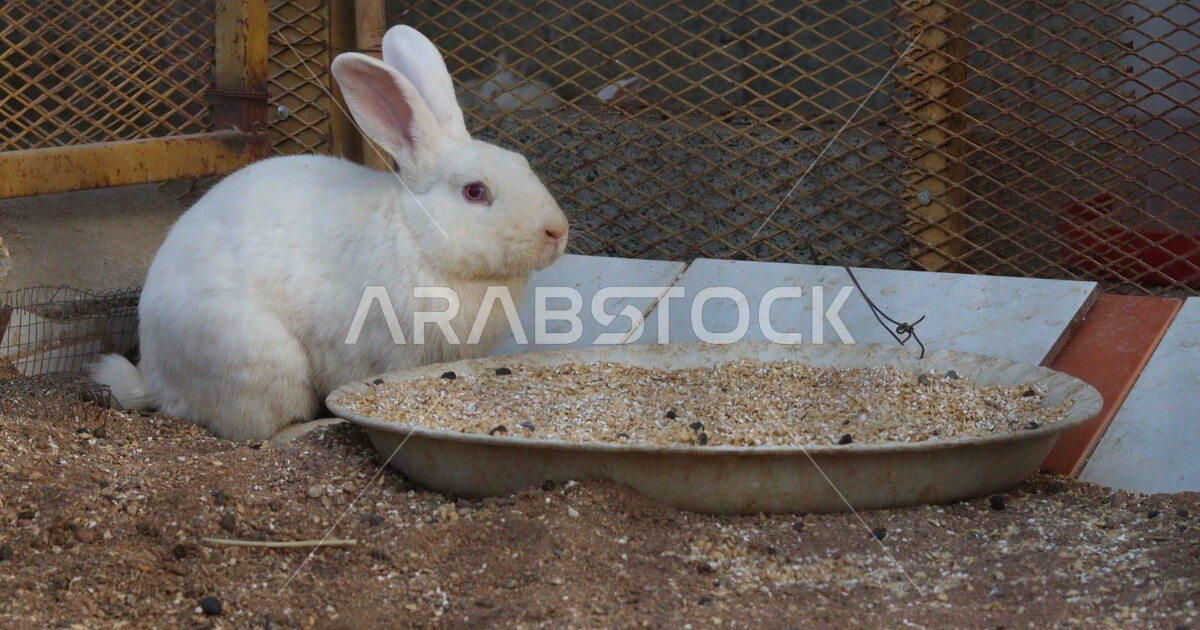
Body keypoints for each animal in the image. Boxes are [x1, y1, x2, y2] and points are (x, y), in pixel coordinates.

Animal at [89, 25, 570, 441]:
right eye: (474, 191)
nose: (557, 231)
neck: (419, 238)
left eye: (522, 162)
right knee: (261, 431)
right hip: (262, 362)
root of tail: (154, 376)